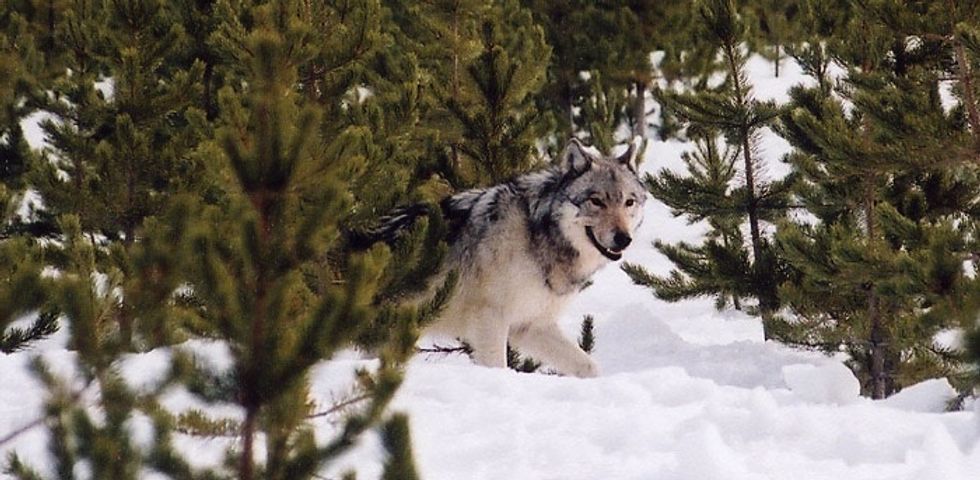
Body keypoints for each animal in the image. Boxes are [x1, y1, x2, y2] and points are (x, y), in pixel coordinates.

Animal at [365, 138, 646, 377]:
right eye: (596, 201)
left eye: (629, 202)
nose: (624, 238)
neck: (536, 235)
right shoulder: (490, 318)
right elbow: (497, 366)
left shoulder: (532, 325)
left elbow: (588, 365)